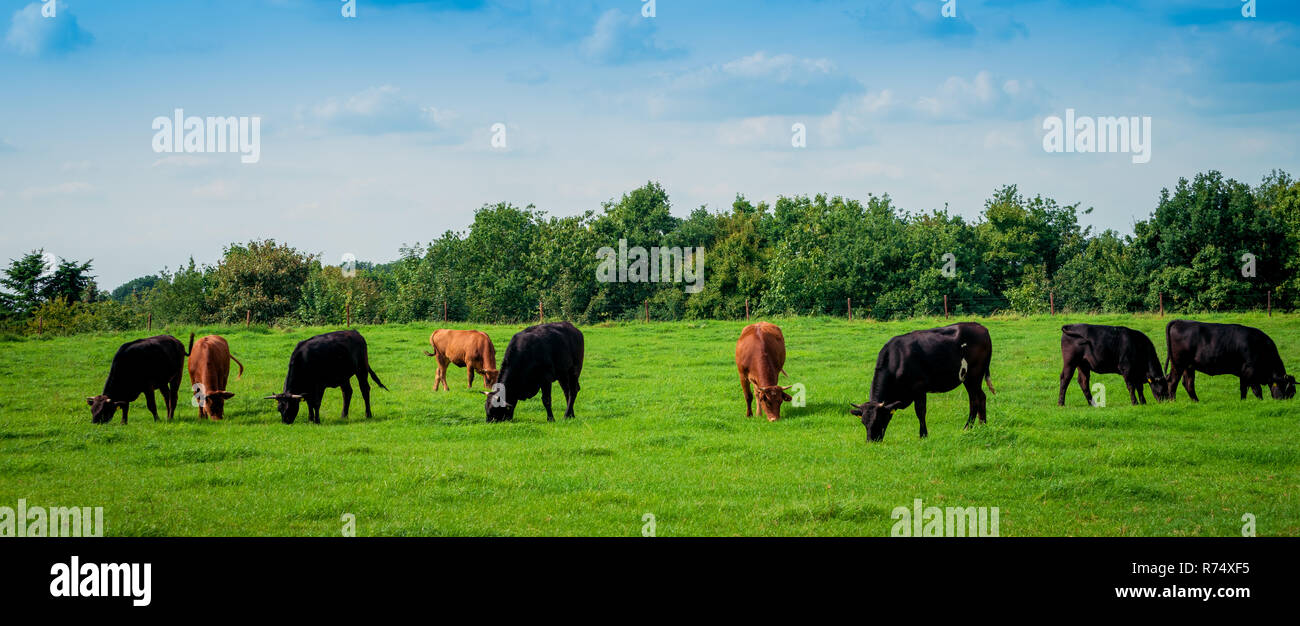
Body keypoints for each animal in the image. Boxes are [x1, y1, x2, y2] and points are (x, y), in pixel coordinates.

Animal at [850, 322, 995, 441]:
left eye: (879, 419)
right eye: (863, 422)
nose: (871, 441)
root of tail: (982, 328)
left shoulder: (919, 388)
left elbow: (920, 411)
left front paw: (923, 435)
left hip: (974, 374)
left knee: (976, 398)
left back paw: (970, 427)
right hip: (968, 378)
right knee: (978, 398)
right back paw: (981, 425)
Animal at [1164, 320, 1296, 401]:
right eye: (1288, 390)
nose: (1283, 401)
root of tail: (1180, 321)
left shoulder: (1244, 375)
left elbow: (1243, 389)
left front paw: (1243, 401)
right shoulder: (1250, 372)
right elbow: (1256, 390)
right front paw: (1260, 401)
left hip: (1189, 366)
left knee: (1188, 383)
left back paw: (1196, 401)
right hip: (1178, 364)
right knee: (1172, 381)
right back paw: (1173, 401)